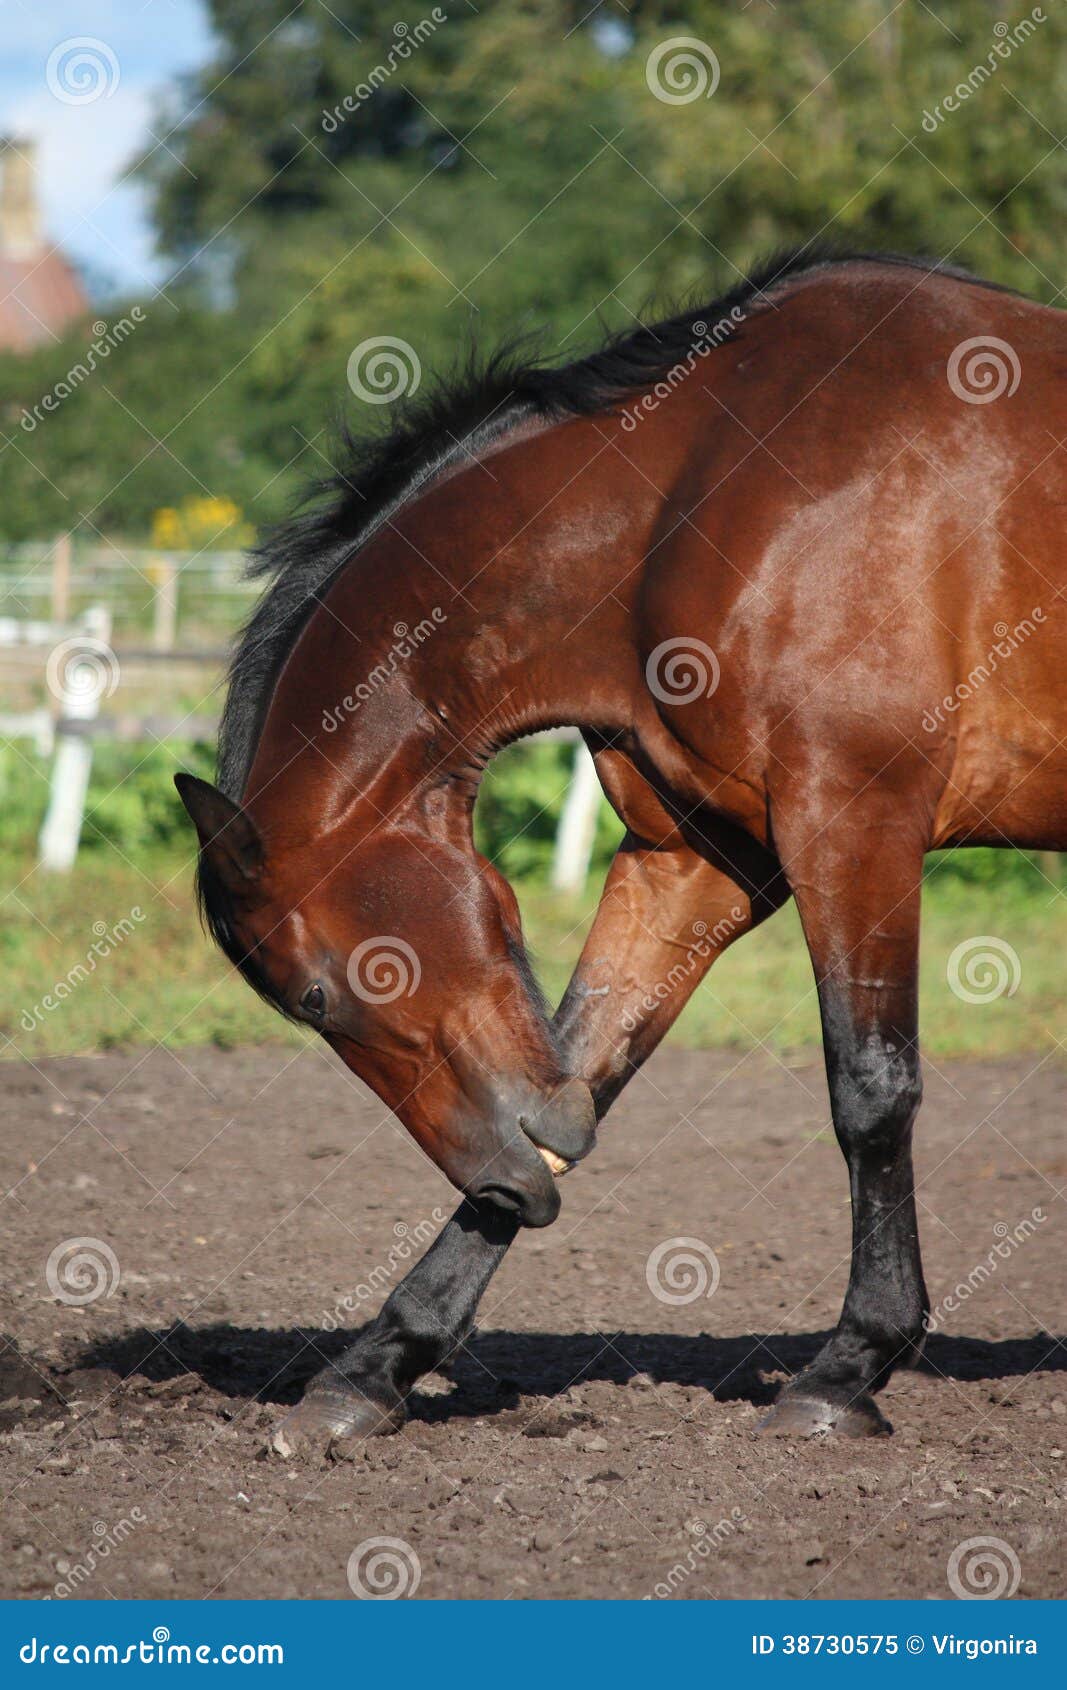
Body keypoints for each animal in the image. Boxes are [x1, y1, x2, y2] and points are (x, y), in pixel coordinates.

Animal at [176, 246, 1064, 1458]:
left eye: (317, 996)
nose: (502, 1178)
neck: (698, 491)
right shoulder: (694, 857)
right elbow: (589, 1062)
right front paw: (378, 1362)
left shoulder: (853, 818)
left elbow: (870, 1093)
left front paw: (847, 1367)